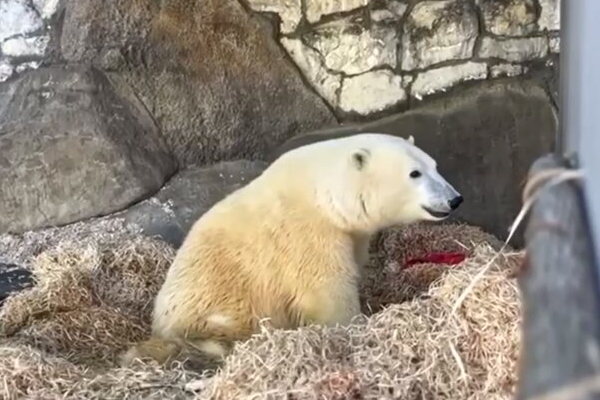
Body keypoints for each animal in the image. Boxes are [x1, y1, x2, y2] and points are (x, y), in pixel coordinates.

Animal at [120, 133, 463, 368]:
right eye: (414, 173)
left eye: (434, 166)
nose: (455, 198)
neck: (324, 194)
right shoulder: (307, 235)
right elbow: (327, 292)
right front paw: (353, 328)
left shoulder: (351, 234)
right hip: (212, 314)